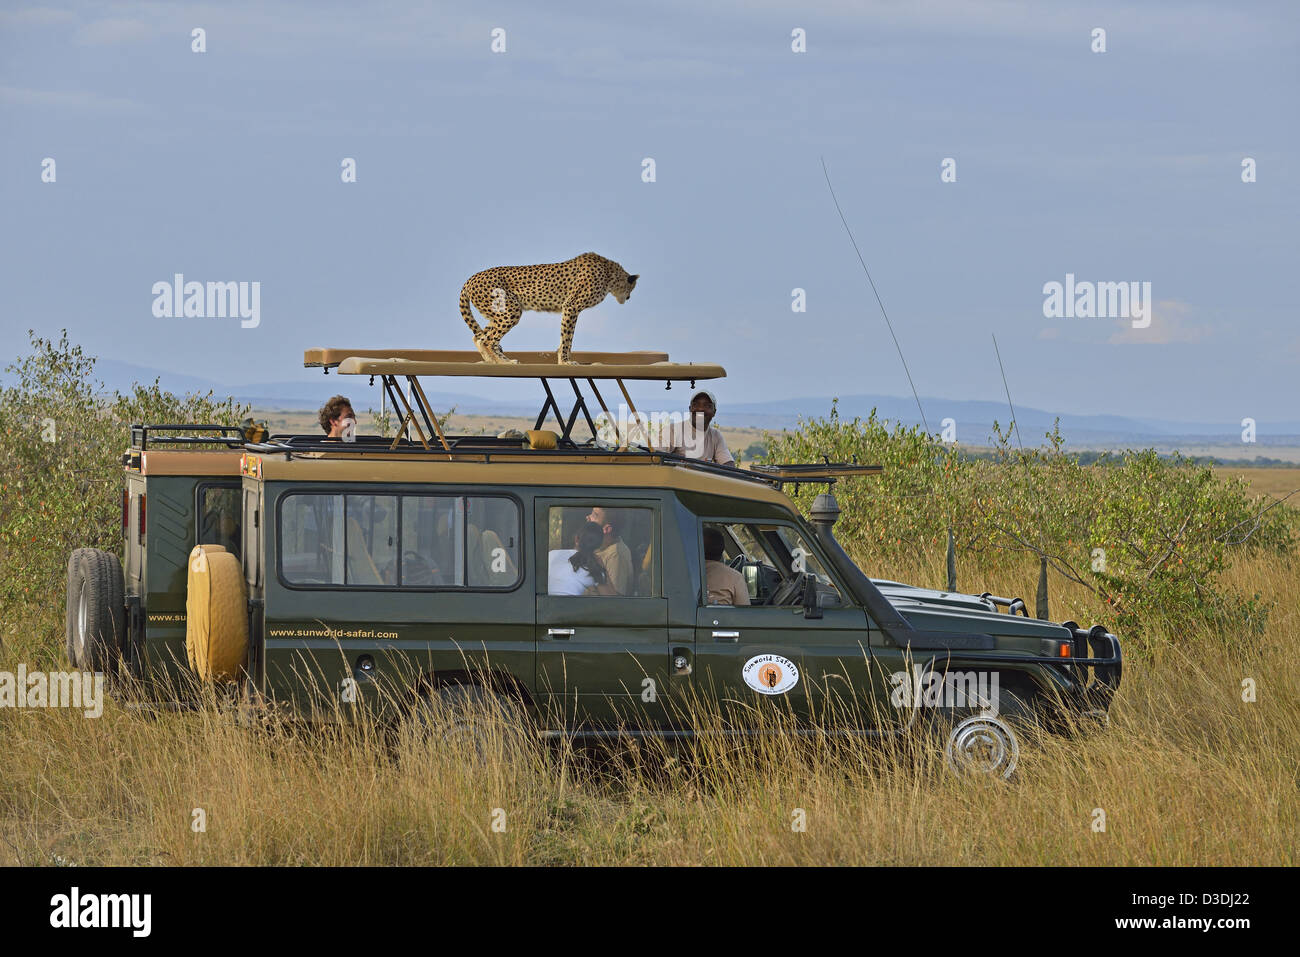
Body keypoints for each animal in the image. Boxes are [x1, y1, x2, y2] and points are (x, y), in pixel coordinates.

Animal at [458, 252, 639, 364]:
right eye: (632, 288)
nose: (629, 298)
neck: (609, 274)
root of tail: (471, 278)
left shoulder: (571, 309)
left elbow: (567, 338)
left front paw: (564, 359)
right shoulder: (571, 306)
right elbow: (567, 337)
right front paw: (565, 361)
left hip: (497, 314)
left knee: (479, 337)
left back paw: (492, 361)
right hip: (511, 311)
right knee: (488, 340)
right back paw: (504, 362)